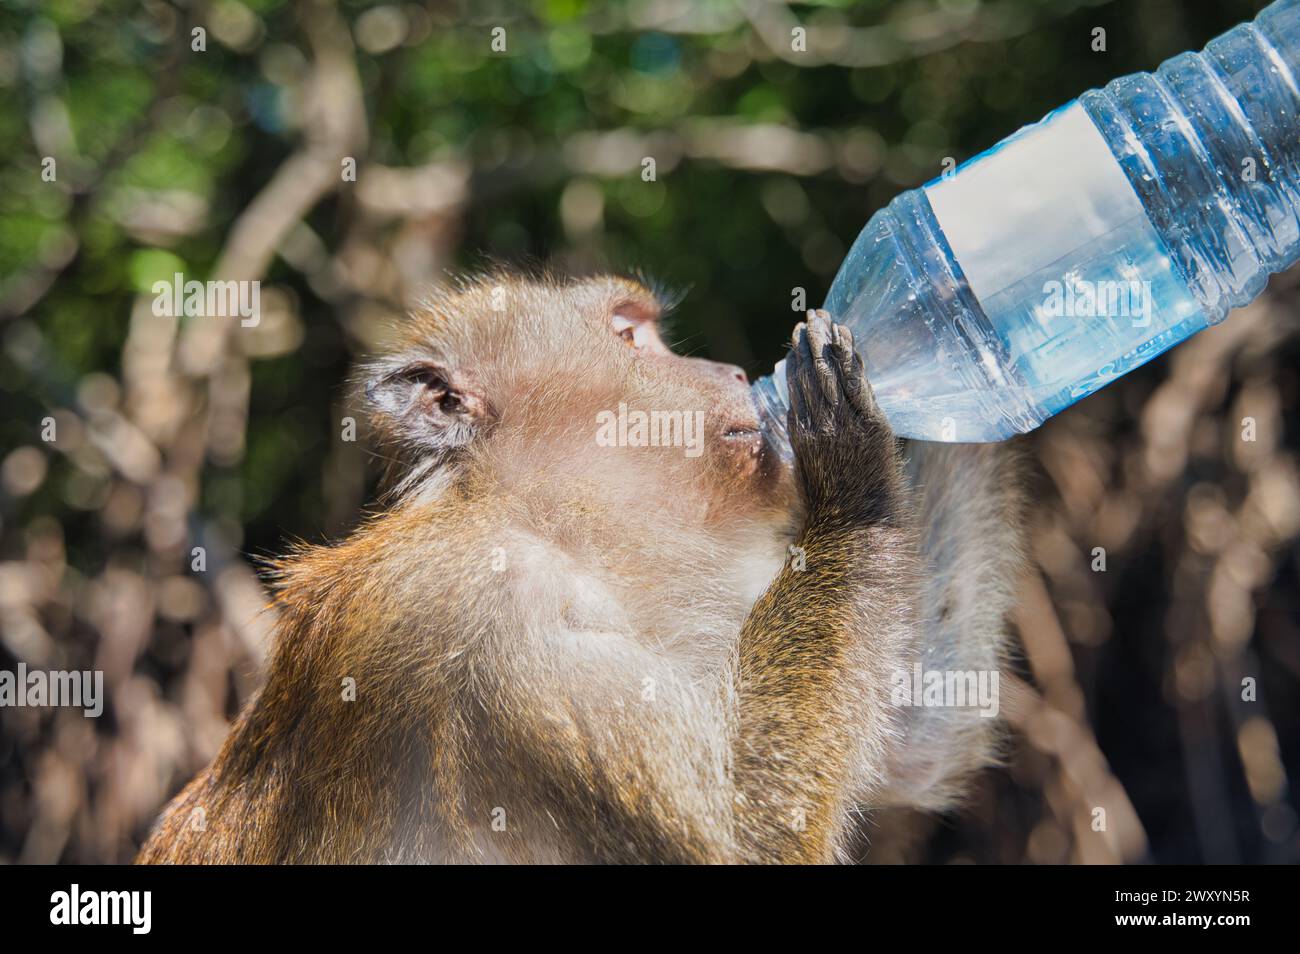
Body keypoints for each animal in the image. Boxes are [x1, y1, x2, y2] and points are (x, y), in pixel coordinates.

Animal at [137, 272, 1023, 864]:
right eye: (630, 336)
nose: (736, 372)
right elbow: (744, 838)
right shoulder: (488, 611)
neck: (571, 535)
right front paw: (853, 471)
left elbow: (921, 741)